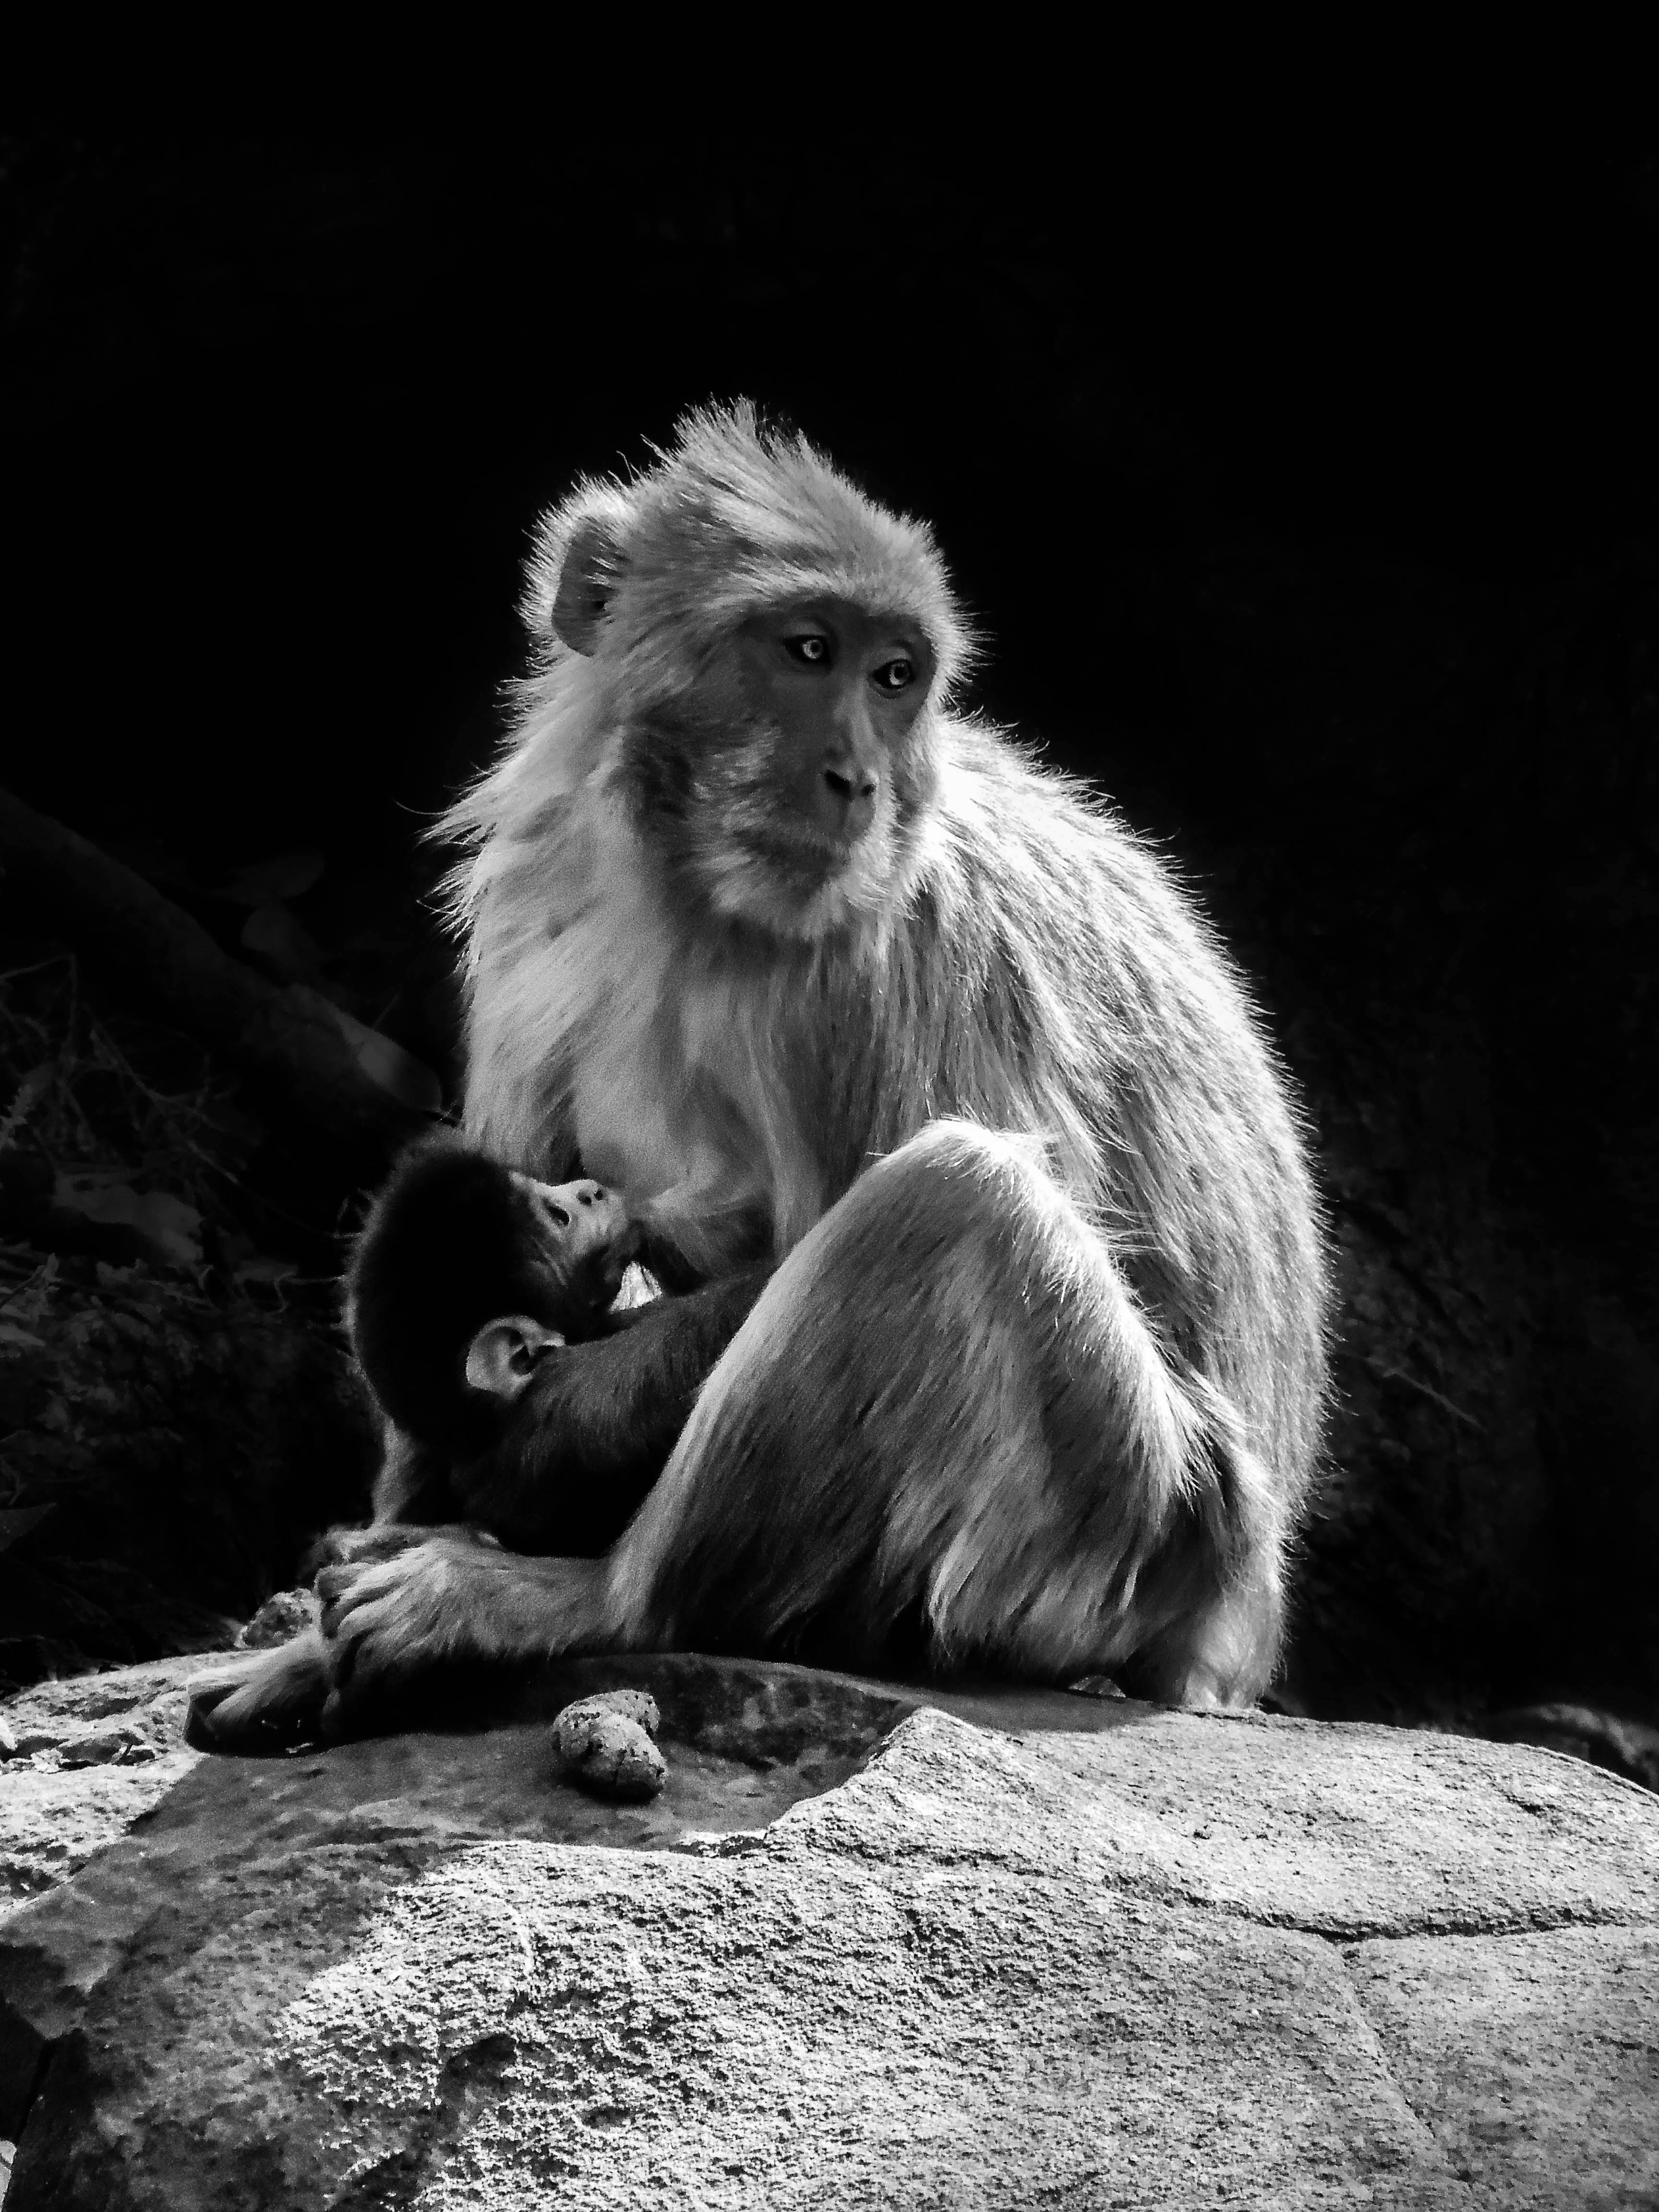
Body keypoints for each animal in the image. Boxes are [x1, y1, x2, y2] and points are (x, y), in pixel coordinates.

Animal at [194, 401, 1329, 1749]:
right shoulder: (531, 899)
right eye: (807, 652)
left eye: (893, 677)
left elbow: (802, 1236)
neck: (684, 887)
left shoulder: (879, 951)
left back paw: (581, 1602)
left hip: (1128, 1537)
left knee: (955, 1199)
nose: (857, 779)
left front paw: (531, 1440)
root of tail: (1233, 1630)